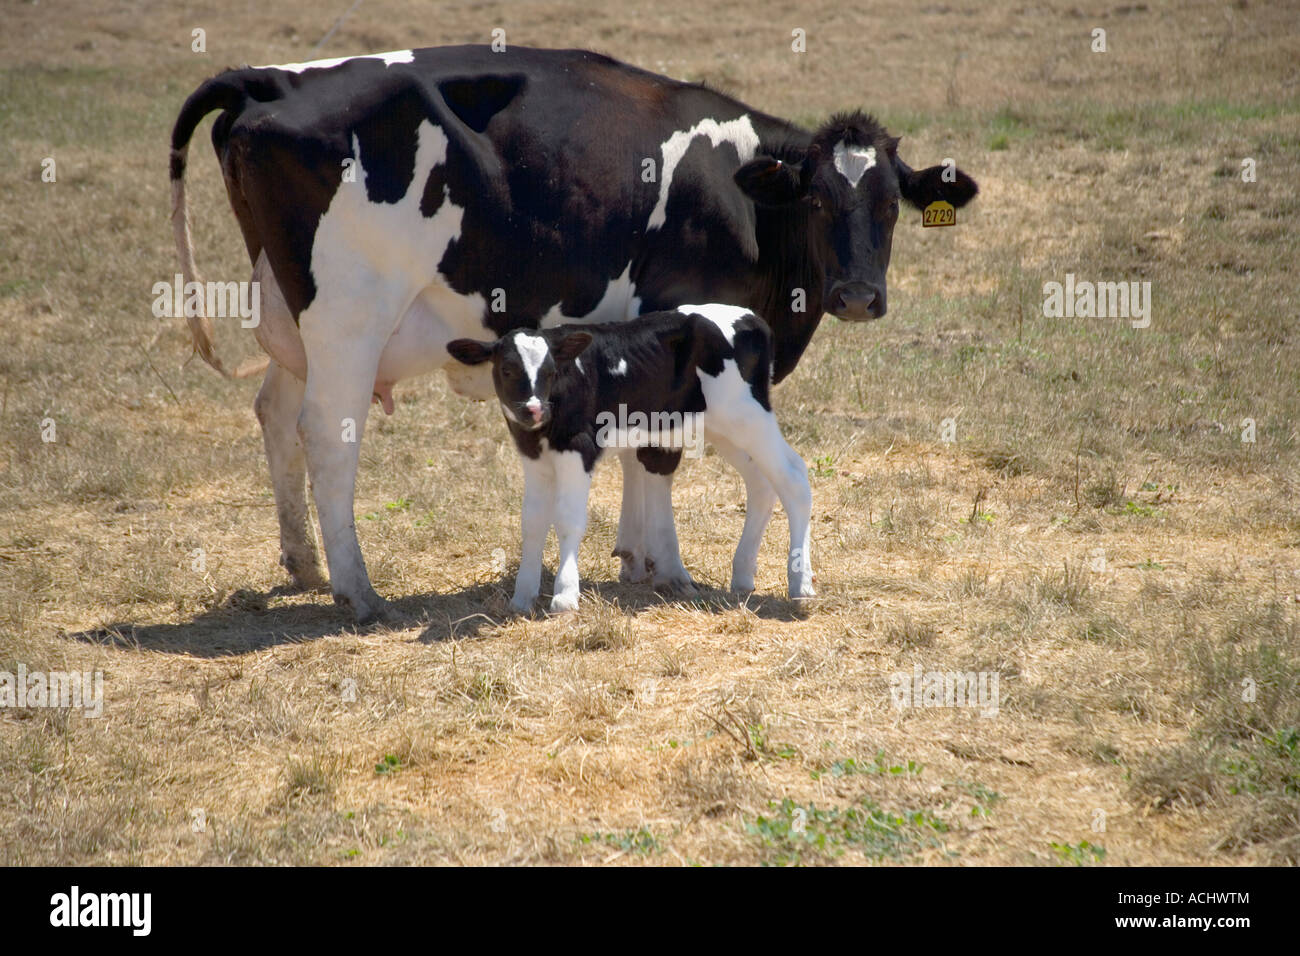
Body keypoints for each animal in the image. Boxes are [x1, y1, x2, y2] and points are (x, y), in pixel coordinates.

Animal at [447, 304, 814, 613]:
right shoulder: (533, 456)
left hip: (749, 416)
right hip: (723, 427)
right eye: (507, 369)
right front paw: (522, 597)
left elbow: (568, 518)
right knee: (762, 483)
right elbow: (533, 521)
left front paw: (565, 595)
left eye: (550, 371)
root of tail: (751, 318)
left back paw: (800, 585)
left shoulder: (579, 448)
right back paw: (743, 576)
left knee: (794, 477)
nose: (534, 409)